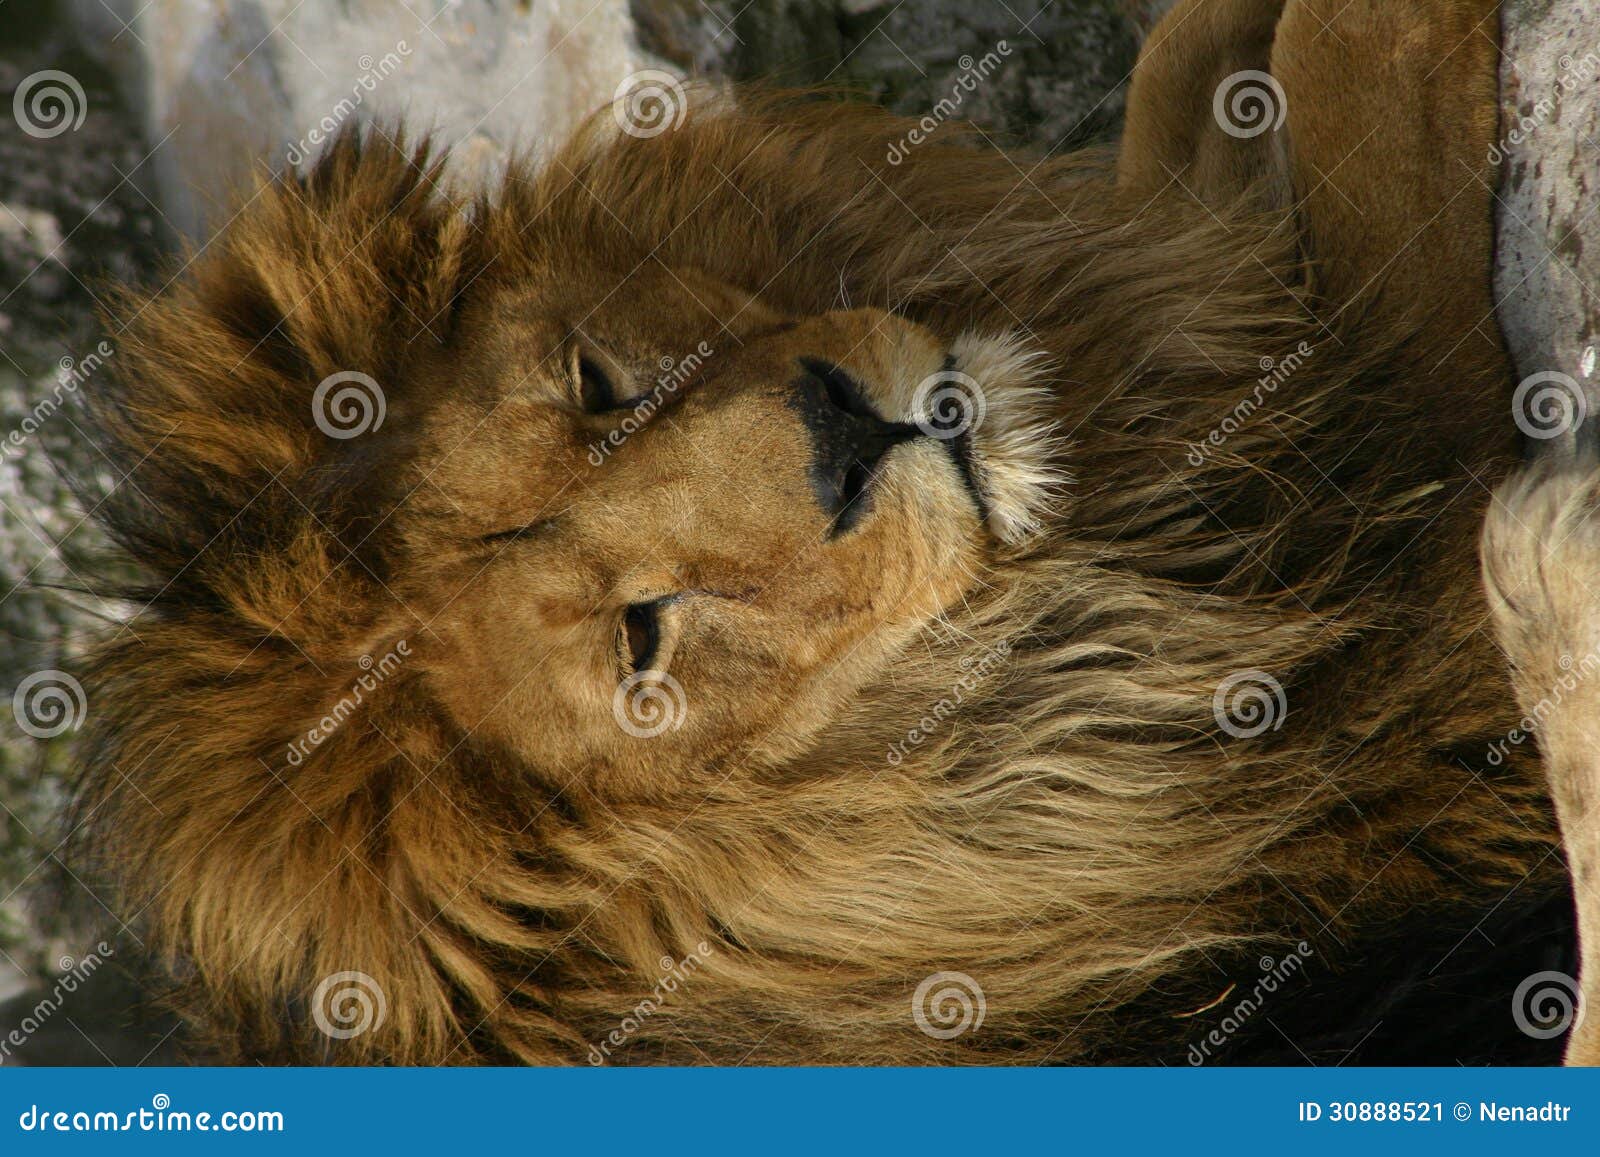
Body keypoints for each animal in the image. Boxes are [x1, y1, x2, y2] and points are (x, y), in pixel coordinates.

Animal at [71, 0, 1583, 1064]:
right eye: (641, 642)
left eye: (596, 388)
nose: (846, 434)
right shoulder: (1396, 585)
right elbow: (1355, 112)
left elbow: (1178, 82)